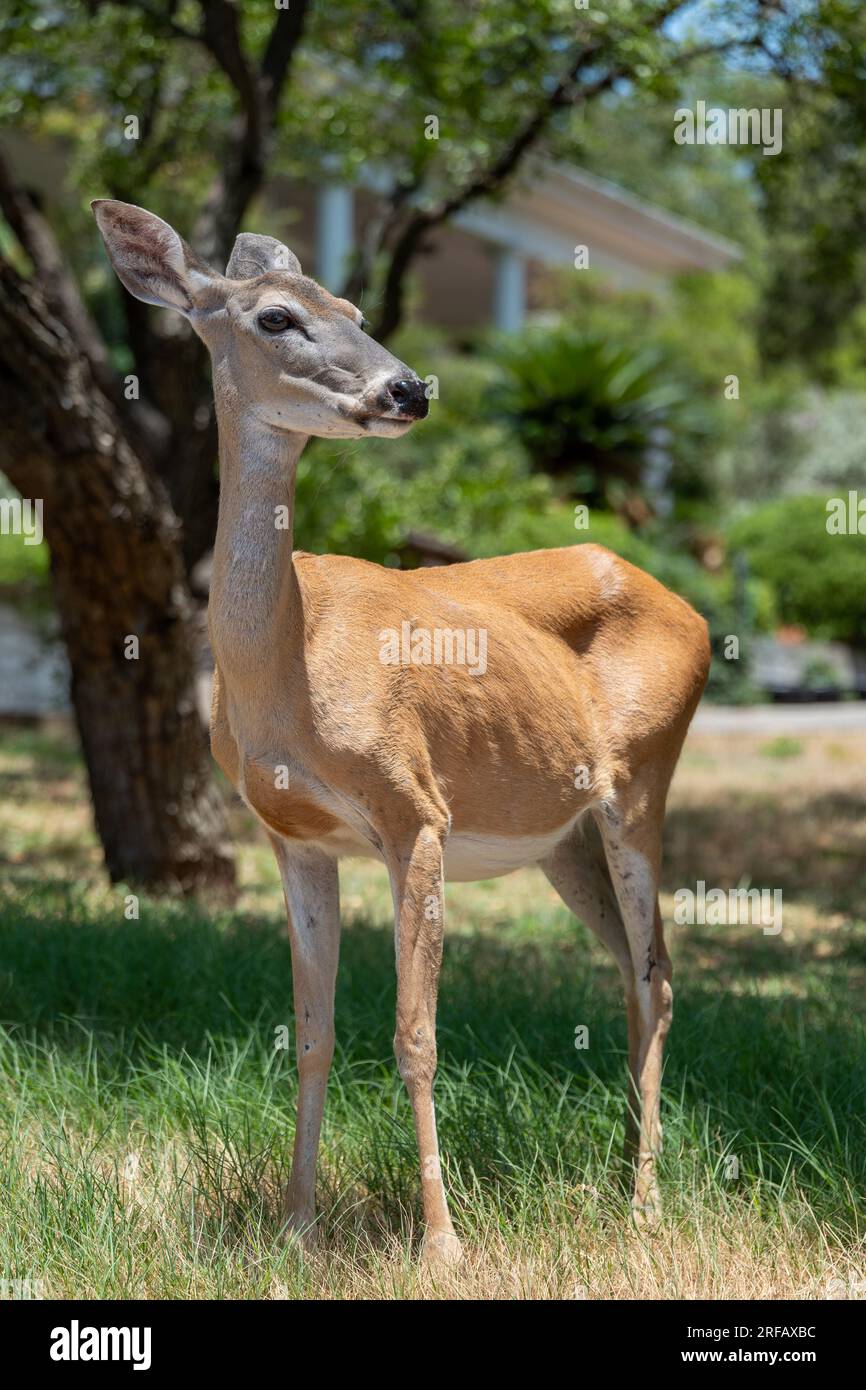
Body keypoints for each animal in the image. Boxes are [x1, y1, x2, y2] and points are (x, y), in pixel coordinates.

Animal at [93, 199, 710, 1268]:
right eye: (277, 317)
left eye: (353, 306)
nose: (408, 388)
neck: (287, 673)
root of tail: (698, 614)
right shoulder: (294, 837)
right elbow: (311, 1034)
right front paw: (295, 1225)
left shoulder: (413, 809)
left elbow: (415, 1034)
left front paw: (442, 1244)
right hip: (561, 840)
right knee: (635, 982)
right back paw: (620, 1179)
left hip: (643, 783)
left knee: (661, 977)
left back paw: (643, 1206)